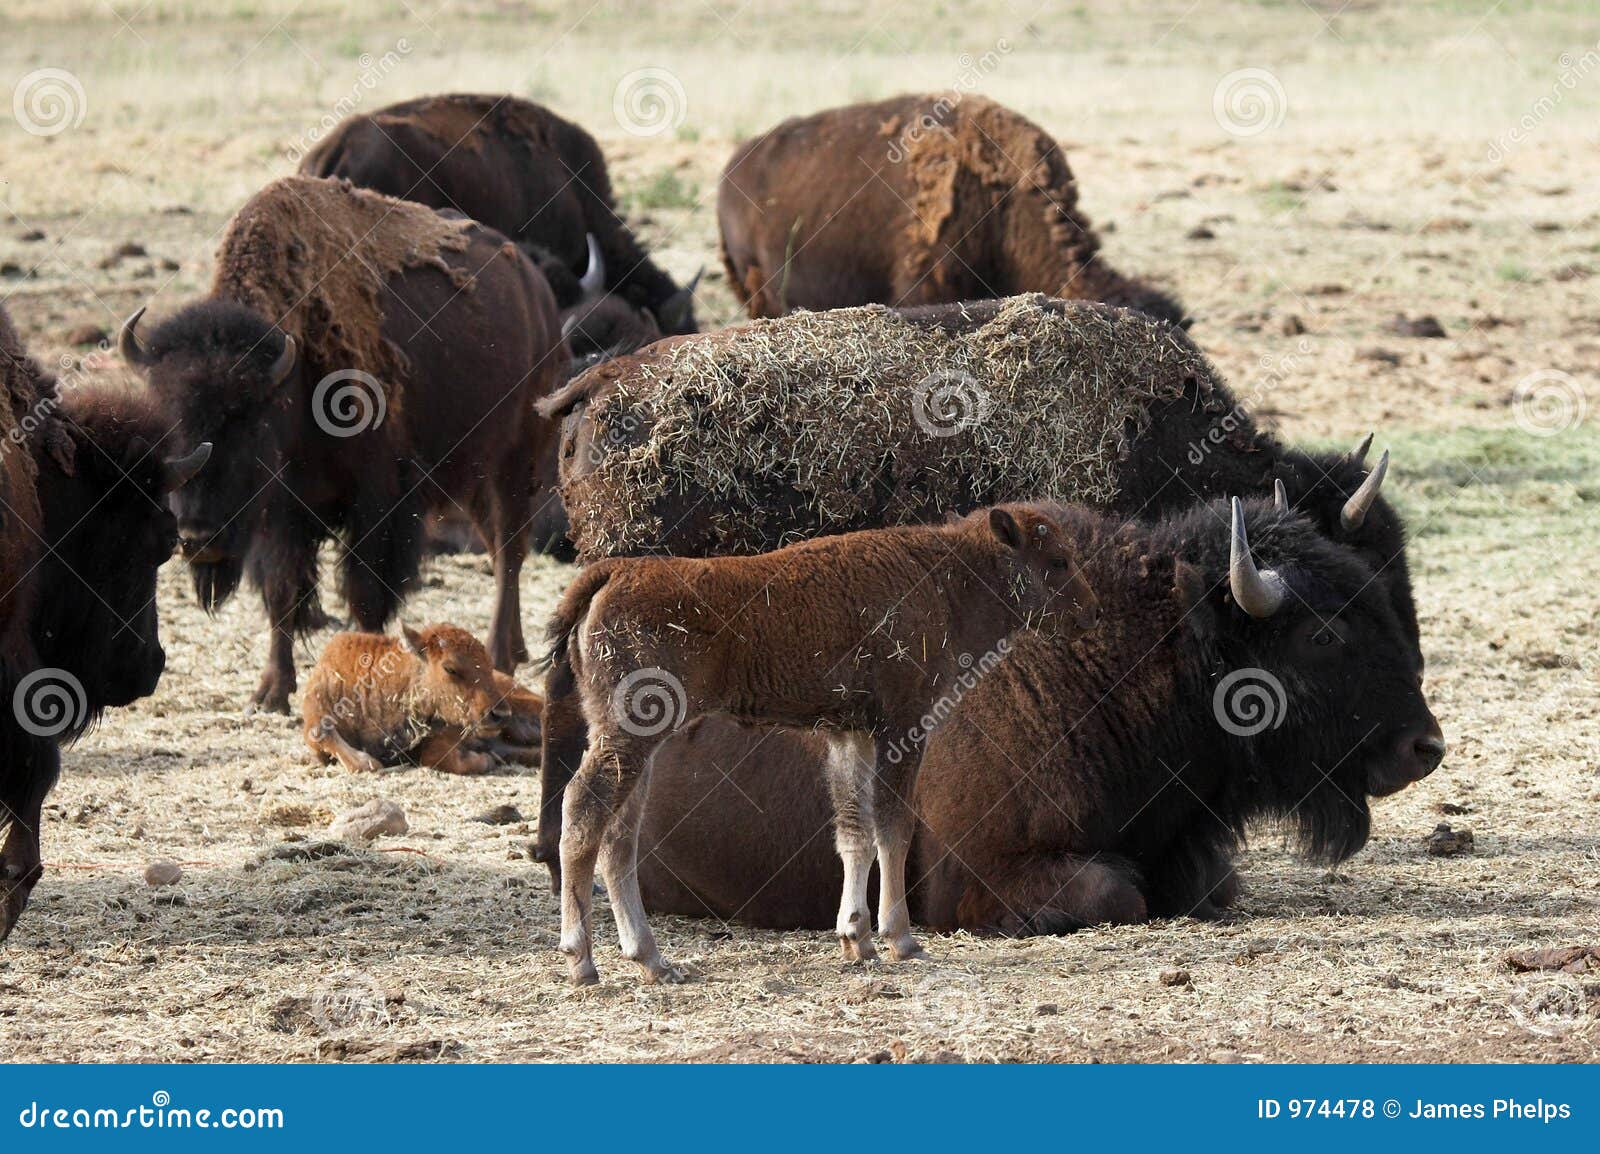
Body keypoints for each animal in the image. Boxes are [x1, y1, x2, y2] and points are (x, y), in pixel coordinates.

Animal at [119, 175, 569, 713]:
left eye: (246, 419)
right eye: (166, 419)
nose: (196, 538)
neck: (295, 377)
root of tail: (537, 291)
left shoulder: (376, 501)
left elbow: (366, 595)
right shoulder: (282, 515)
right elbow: (284, 595)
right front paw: (271, 692)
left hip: (515, 462)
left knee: (510, 550)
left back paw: (501, 655)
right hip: (474, 476)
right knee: (500, 549)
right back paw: (514, 651)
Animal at [303, 624, 541, 776]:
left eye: (490, 666)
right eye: (450, 668)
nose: (500, 714)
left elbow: (439, 756)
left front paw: (484, 759)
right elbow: (326, 738)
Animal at [546, 504, 1099, 985]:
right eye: (1057, 561)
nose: (1090, 613)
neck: (948, 579)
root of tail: (614, 572)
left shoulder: (850, 733)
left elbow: (854, 832)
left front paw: (857, 939)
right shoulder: (905, 724)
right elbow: (893, 828)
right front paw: (900, 939)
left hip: (633, 744)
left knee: (619, 835)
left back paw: (653, 961)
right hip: (631, 735)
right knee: (582, 810)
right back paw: (582, 961)